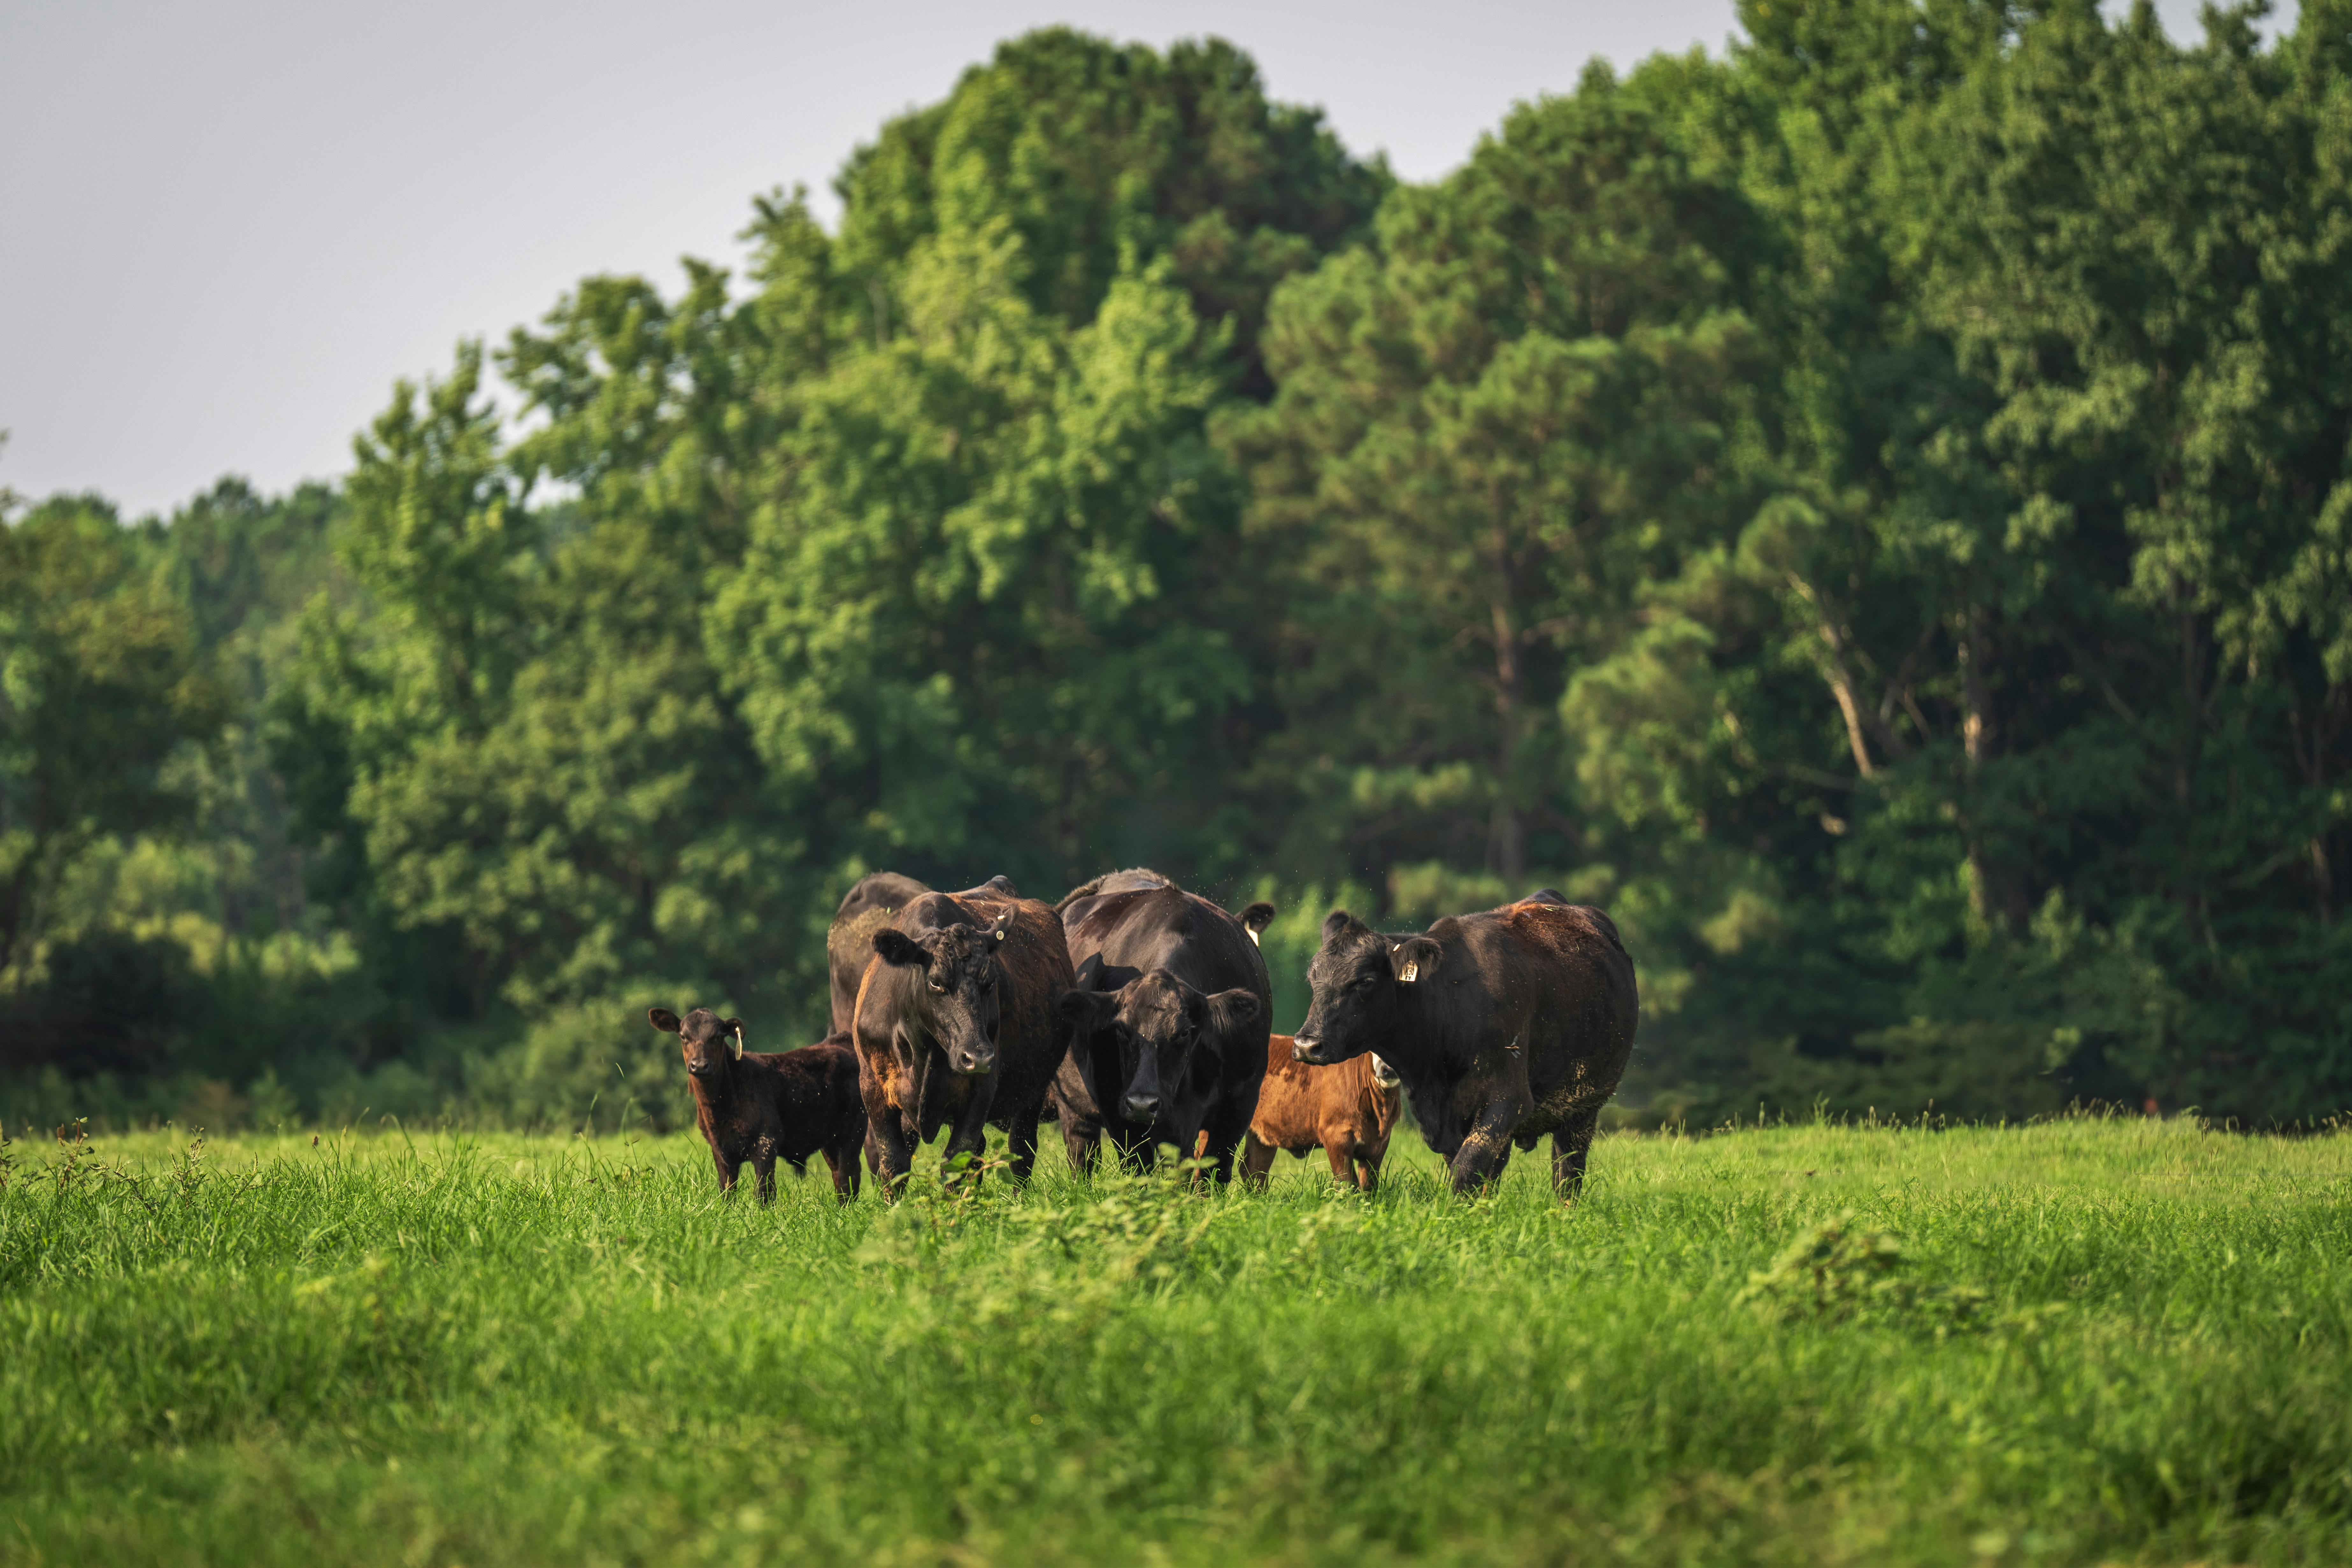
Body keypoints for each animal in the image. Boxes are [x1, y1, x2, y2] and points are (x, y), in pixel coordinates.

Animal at [645, 1009, 869, 1202]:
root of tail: (842, 1041)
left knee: (849, 1175)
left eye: (717, 1037)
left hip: (854, 1131)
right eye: (684, 1036)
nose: (699, 1065)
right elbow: (726, 1192)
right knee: (840, 1174)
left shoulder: (767, 1139)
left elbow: (764, 1192)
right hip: (829, 1140)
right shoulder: (719, 1148)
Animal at [852, 879, 1069, 1192]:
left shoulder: (982, 1088)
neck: (922, 1050)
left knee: (1021, 1149)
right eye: (935, 982)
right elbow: (893, 1164)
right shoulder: (873, 1085)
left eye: (989, 982)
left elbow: (956, 1159)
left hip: (1033, 1088)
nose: (977, 1056)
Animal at [1052, 869, 1269, 1182]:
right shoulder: (1116, 1107)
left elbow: (1212, 1172)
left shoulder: (1239, 1106)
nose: (1143, 1103)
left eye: (1185, 1032)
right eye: (1120, 1030)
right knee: (1082, 1155)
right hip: (1072, 1108)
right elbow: (1137, 1168)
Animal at [1241, 1033, 1404, 1192]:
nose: (1388, 1070)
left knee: (1254, 1170)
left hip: (1263, 1137)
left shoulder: (1380, 1143)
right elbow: (1346, 1183)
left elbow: (1369, 1187)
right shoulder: (1336, 1135)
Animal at [1291, 890, 1636, 1201]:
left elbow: (1467, 1168)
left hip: (1583, 1107)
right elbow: (1471, 1167)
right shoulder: (1440, 1117)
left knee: (1567, 1172)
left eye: (1364, 981)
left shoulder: (1508, 1100)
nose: (1307, 1044)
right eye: (1312, 978)